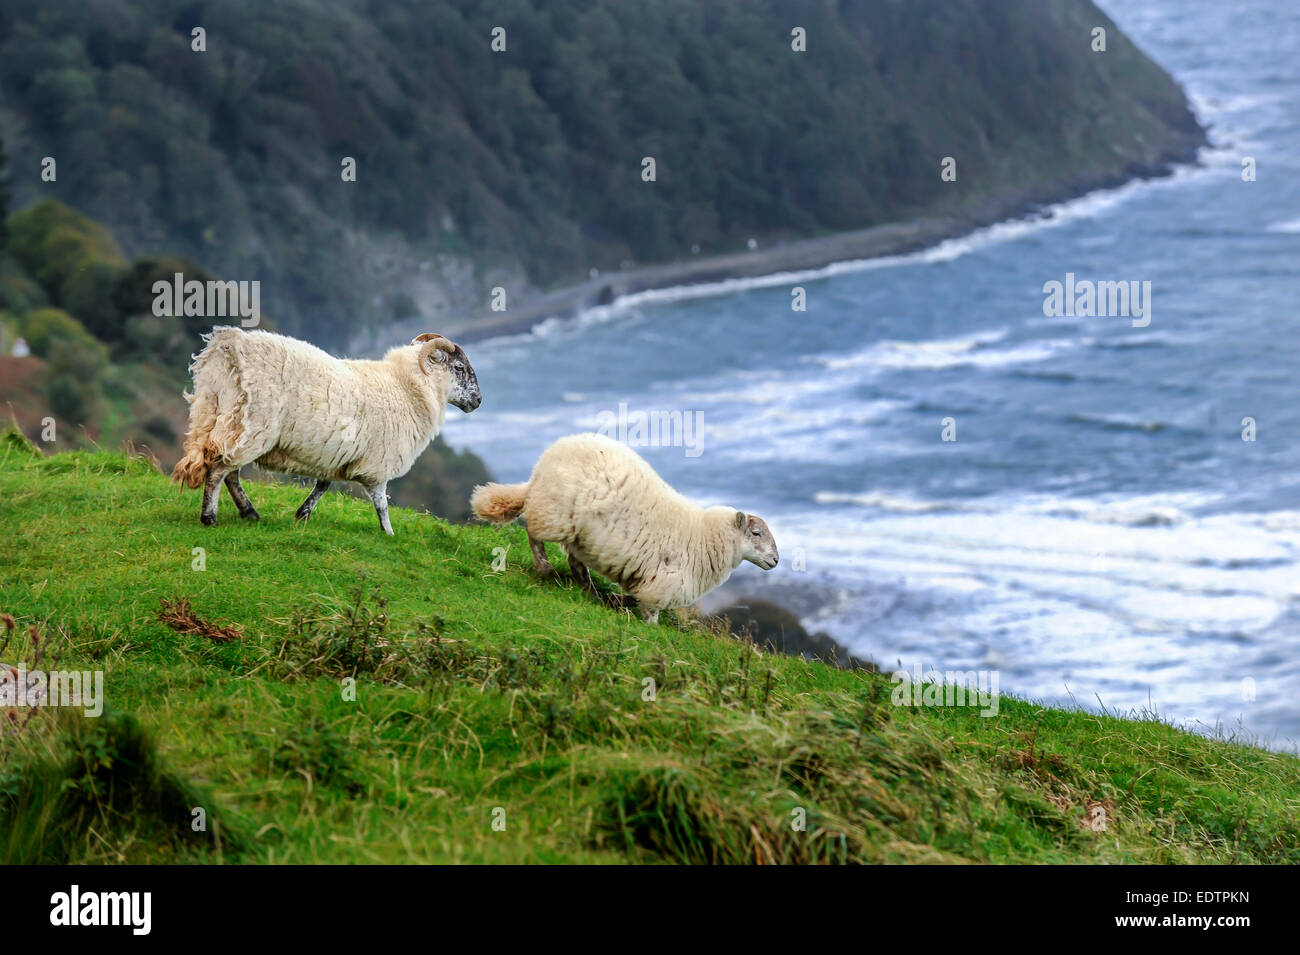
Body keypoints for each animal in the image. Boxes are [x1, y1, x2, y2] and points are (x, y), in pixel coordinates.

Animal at [171, 327, 480, 533]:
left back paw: (249, 512)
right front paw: (389, 533)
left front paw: (303, 513)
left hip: (220, 417)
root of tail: (229, 346)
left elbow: (323, 485)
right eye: (459, 368)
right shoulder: (379, 464)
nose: (478, 401)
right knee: (218, 471)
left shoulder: (335, 456)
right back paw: (210, 517)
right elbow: (381, 503)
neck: (407, 387)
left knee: (229, 473)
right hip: (251, 426)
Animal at [470, 433, 778, 622]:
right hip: (555, 513)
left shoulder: (645, 581)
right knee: (534, 533)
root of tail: (540, 469)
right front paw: (645, 624)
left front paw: (616, 601)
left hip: (576, 532)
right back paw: (544, 567)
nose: (776, 560)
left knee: (575, 561)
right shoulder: (661, 584)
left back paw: (592, 593)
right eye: (756, 533)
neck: (702, 536)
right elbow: (651, 614)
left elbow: (633, 597)